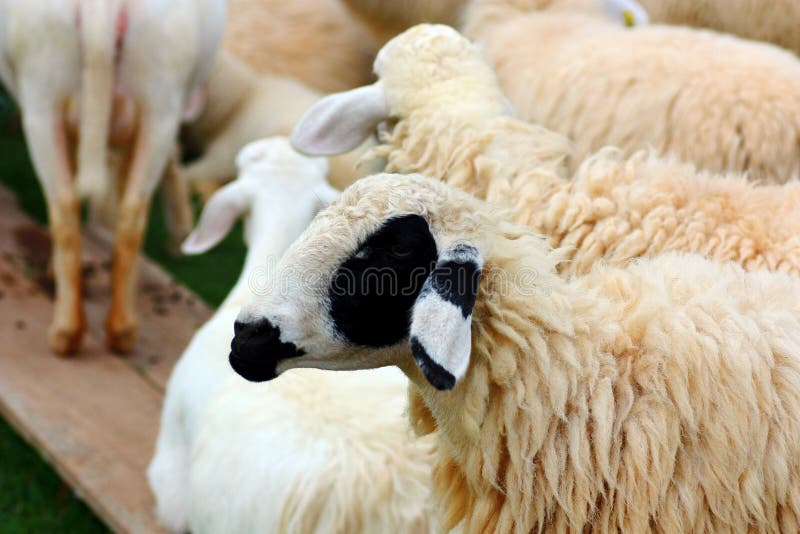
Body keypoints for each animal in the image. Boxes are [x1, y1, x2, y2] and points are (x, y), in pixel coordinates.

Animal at [0, 0, 225, 354]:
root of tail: (100, 6)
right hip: (158, 104)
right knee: (128, 212)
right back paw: (117, 331)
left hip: (43, 94)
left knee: (65, 205)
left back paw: (69, 333)